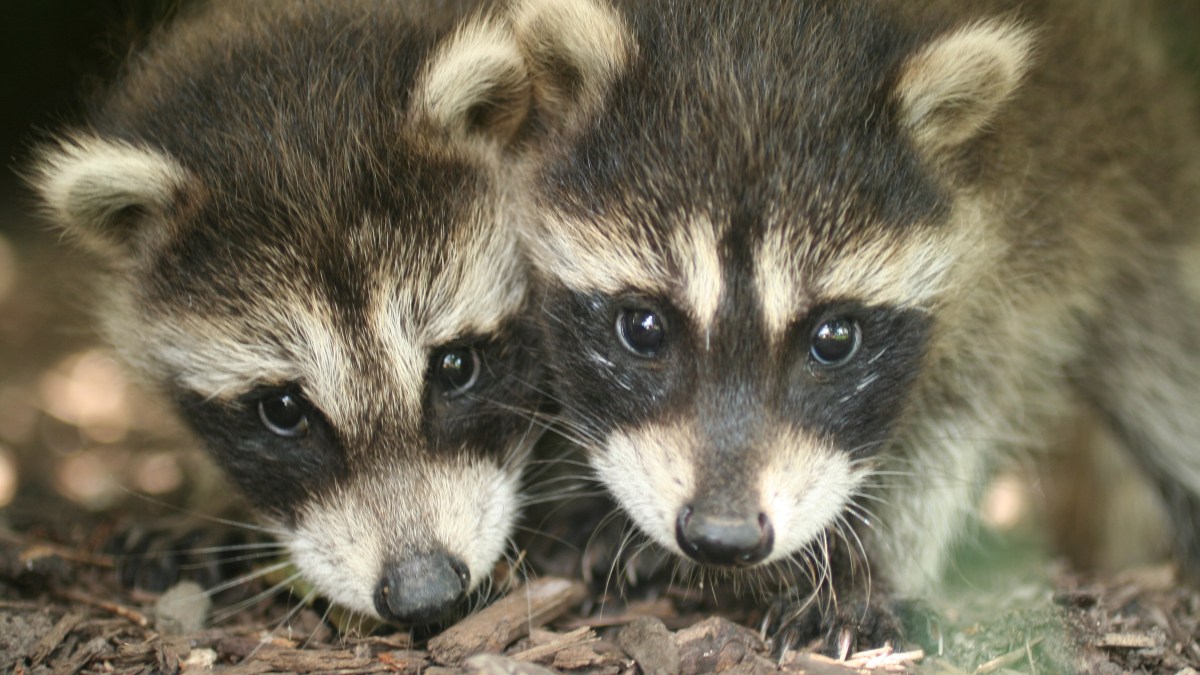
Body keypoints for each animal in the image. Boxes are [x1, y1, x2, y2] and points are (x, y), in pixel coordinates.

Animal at [512, 0, 1200, 652]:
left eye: (834, 340)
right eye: (644, 328)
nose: (722, 537)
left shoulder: (1026, 220)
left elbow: (958, 406)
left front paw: (871, 564)